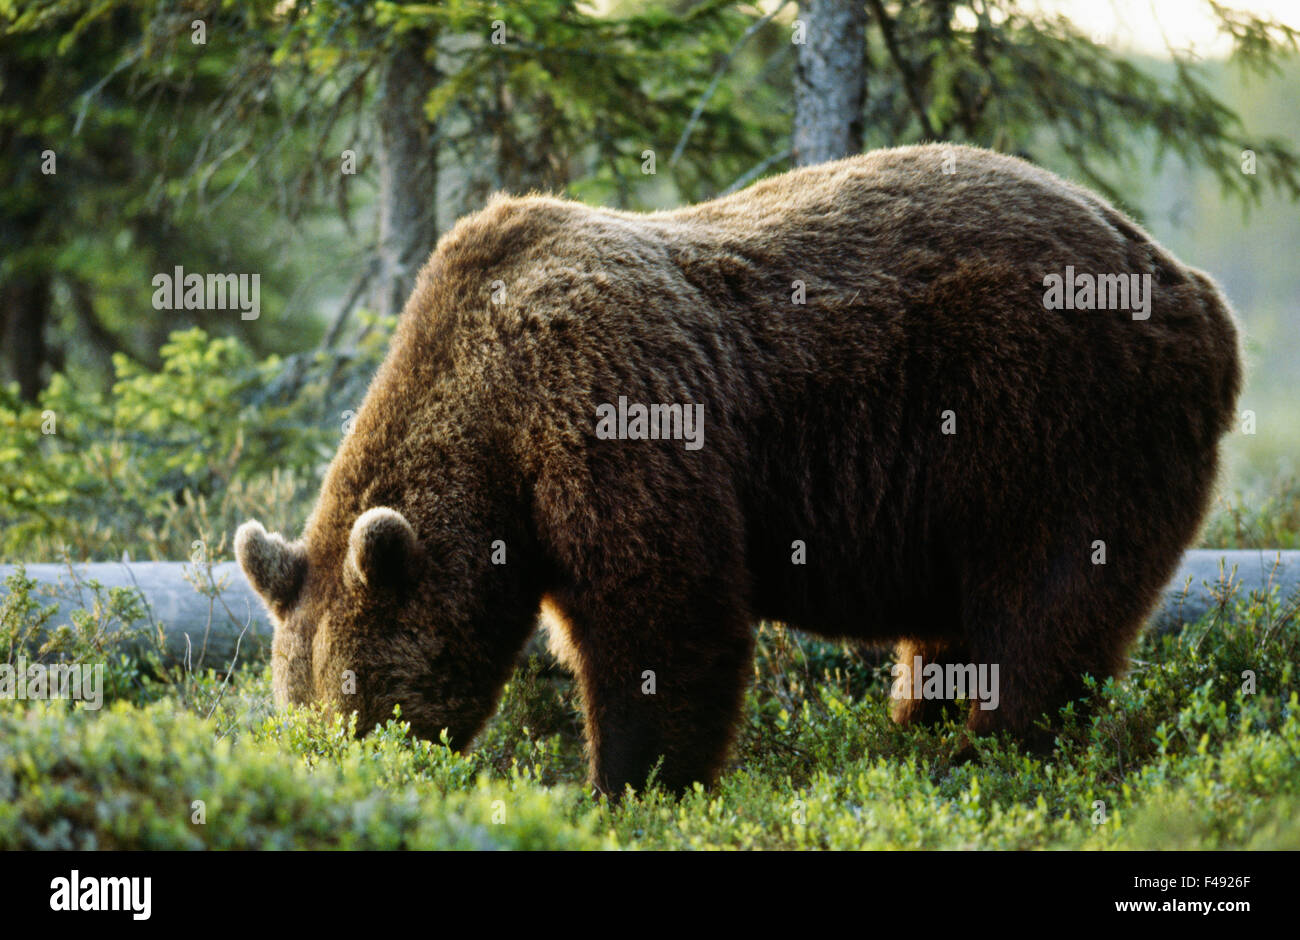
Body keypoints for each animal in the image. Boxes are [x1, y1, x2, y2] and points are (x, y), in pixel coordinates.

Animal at [236, 143, 1242, 797]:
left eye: (366, 706)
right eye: (300, 713)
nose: (346, 769)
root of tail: (1193, 288)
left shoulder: (605, 414)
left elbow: (662, 620)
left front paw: (632, 785)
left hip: (1057, 426)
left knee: (1042, 610)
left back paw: (989, 756)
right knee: (959, 634)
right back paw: (916, 734)